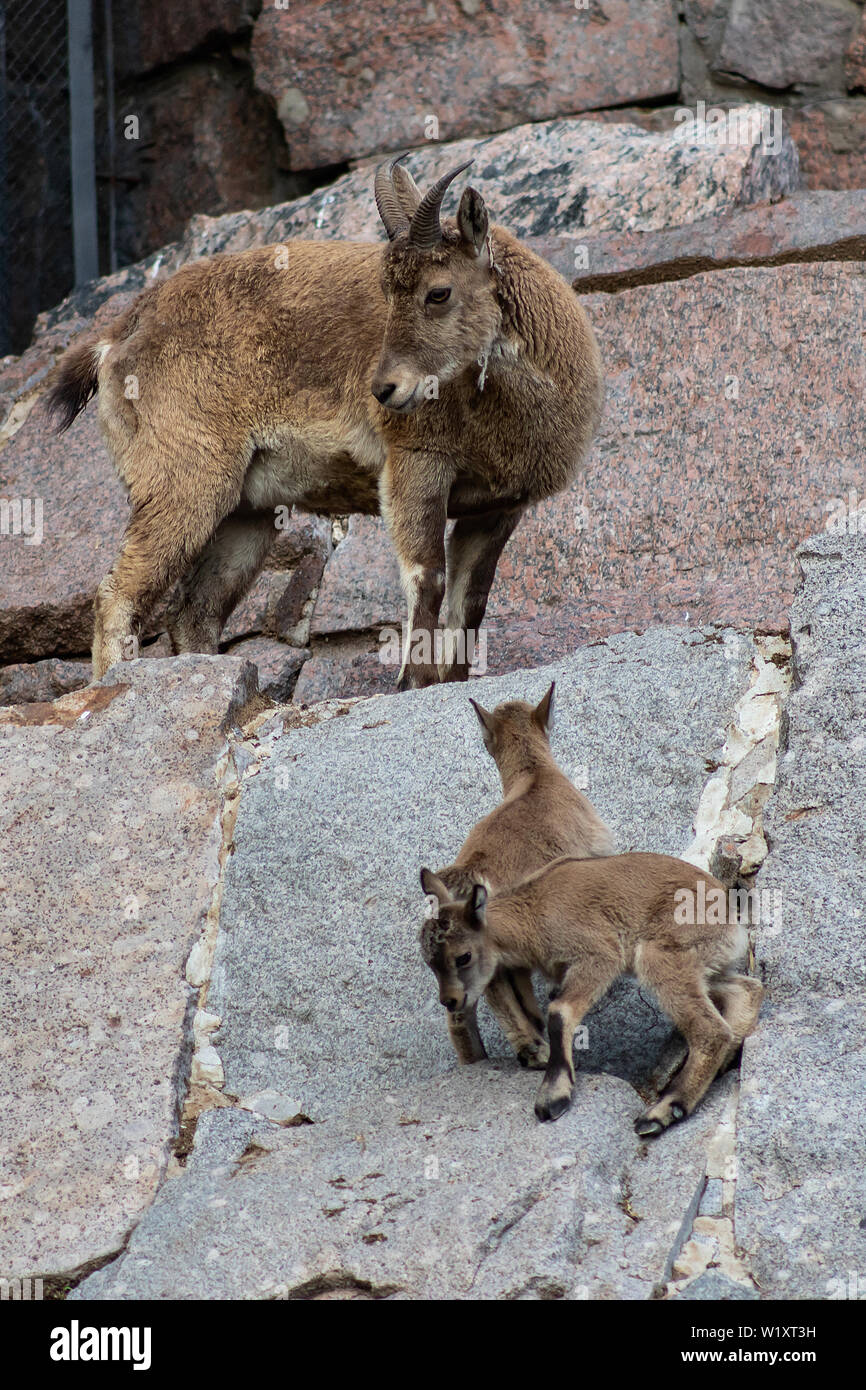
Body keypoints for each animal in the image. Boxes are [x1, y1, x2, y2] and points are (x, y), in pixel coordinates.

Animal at [44, 156, 603, 686]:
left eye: (438, 292)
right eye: (386, 292)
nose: (384, 390)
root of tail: (116, 336)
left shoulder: (498, 507)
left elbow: (471, 602)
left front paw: (451, 681)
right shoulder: (417, 462)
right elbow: (427, 578)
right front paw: (414, 682)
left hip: (249, 510)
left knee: (196, 610)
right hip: (185, 478)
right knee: (118, 595)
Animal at [420, 853, 763, 1135]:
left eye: (463, 957)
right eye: (429, 961)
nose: (450, 1000)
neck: (533, 911)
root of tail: (733, 923)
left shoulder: (597, 955)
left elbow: (559, 1012)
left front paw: (553, 1097)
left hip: (660, 957)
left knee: (712, 1030)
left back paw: (660, 1113)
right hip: (704, 968)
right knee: (747, 991)